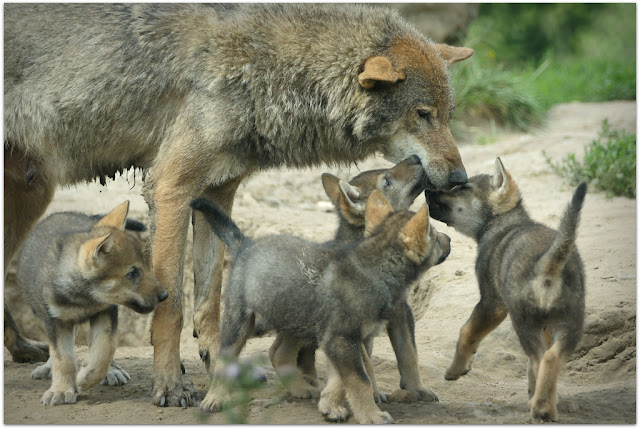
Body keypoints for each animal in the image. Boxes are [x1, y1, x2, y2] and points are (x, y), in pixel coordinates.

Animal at [16, 201, 168, 405]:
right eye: (132, 273)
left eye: (145, 267)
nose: (165, 295)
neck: (85, 297)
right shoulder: (56, 321)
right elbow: (63, 358)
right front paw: (61, 390)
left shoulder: (105, 312)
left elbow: (104, 349)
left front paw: (86, 379)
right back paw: (48, 368)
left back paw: (111, 371)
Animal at [191, 190, 451, 423]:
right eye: (435, 235)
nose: (449, 239)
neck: (376, 271)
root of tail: (246, 244)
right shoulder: (342, 339)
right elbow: (361, 379)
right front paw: (371, 415)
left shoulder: (344, 339)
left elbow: (344, 378)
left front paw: (330, 405)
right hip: (240, 322)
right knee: (225, 360)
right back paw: (214, 399)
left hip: (297, 320)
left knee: (279, 353)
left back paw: (300, 388)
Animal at [425, 158, 587, 422]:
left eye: (462, 188)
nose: (426, 191)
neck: (502, 224)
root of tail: (550, 263)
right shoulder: (546, 326)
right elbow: (531, 370)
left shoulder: (492, 304)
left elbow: (466, 332)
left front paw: (456, 370)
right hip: (569, 324)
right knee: (550, 358)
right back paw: (546, 407)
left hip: (524, 323)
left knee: (541, 359)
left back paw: (540, 409)